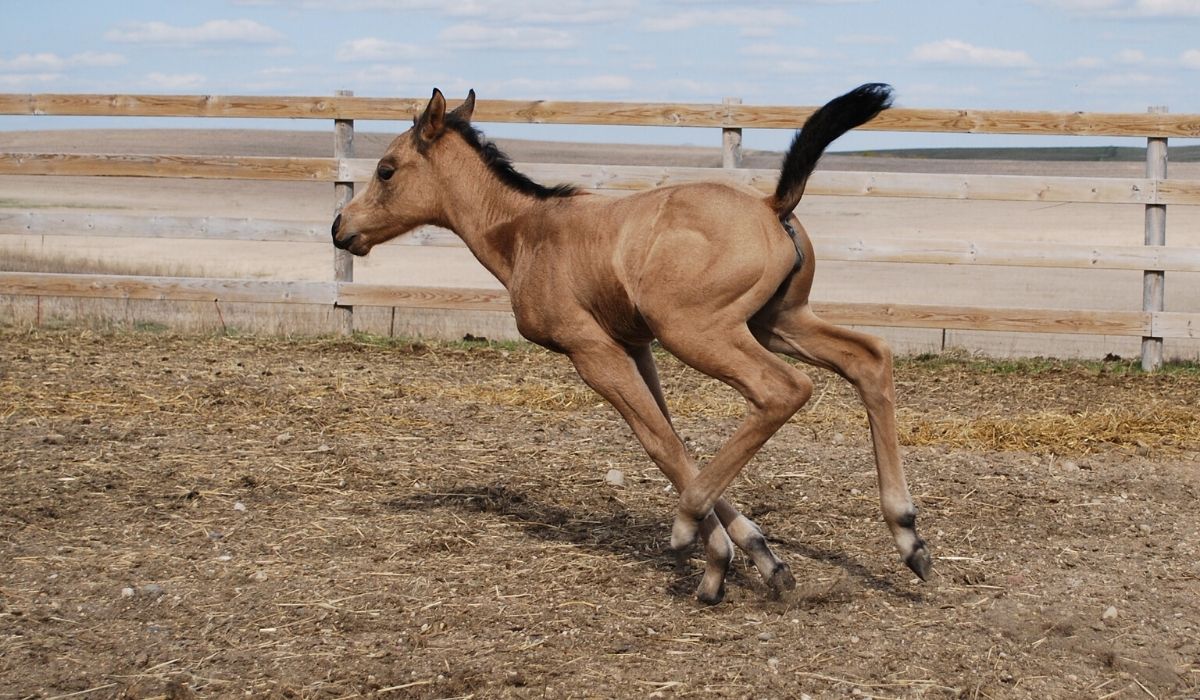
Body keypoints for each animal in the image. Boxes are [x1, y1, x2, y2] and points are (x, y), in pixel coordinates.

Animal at [332, 84, 931, 604]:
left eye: (386, 170)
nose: (340, 228)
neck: (526, 233)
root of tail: (771, 206)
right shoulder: (638, 348)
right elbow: (673, 438)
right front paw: (764, 556)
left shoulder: (592, 351)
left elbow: (658, 444)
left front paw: (715, 561)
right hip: (778, 322)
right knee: (869, 358)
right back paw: (909, 537)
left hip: (699, 331)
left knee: (783, 389)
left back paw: (687, 520)